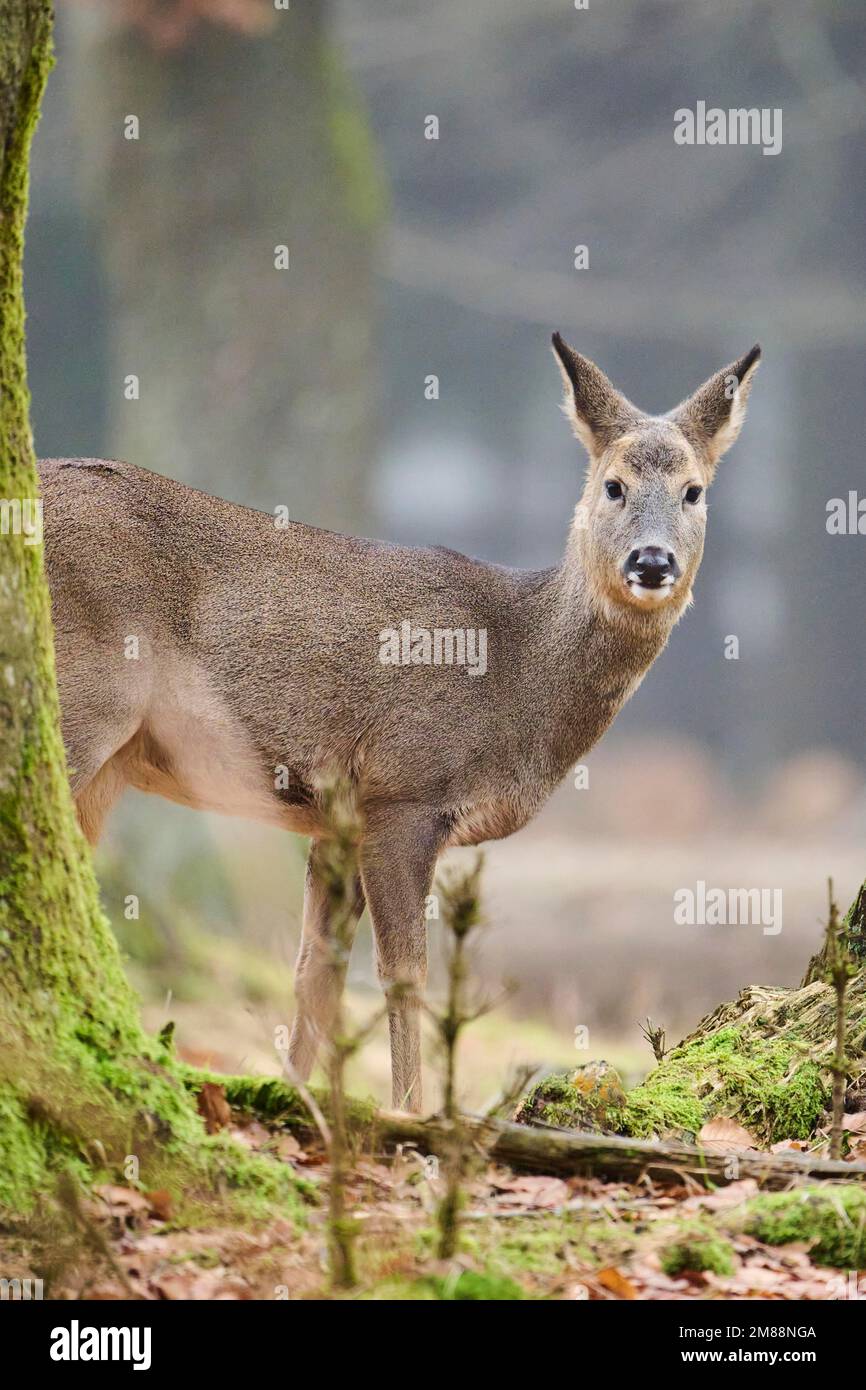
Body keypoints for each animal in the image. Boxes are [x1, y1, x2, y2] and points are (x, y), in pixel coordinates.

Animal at [39, 334, 761, 1113]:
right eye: (614, 485)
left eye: (694, 491)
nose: (652, 561)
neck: (516, 672)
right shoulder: (403, 790)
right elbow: (403, 973)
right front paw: (410, 1111)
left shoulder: (337, 818)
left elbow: (314, 972)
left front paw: (296, 1095)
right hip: (81, 701)